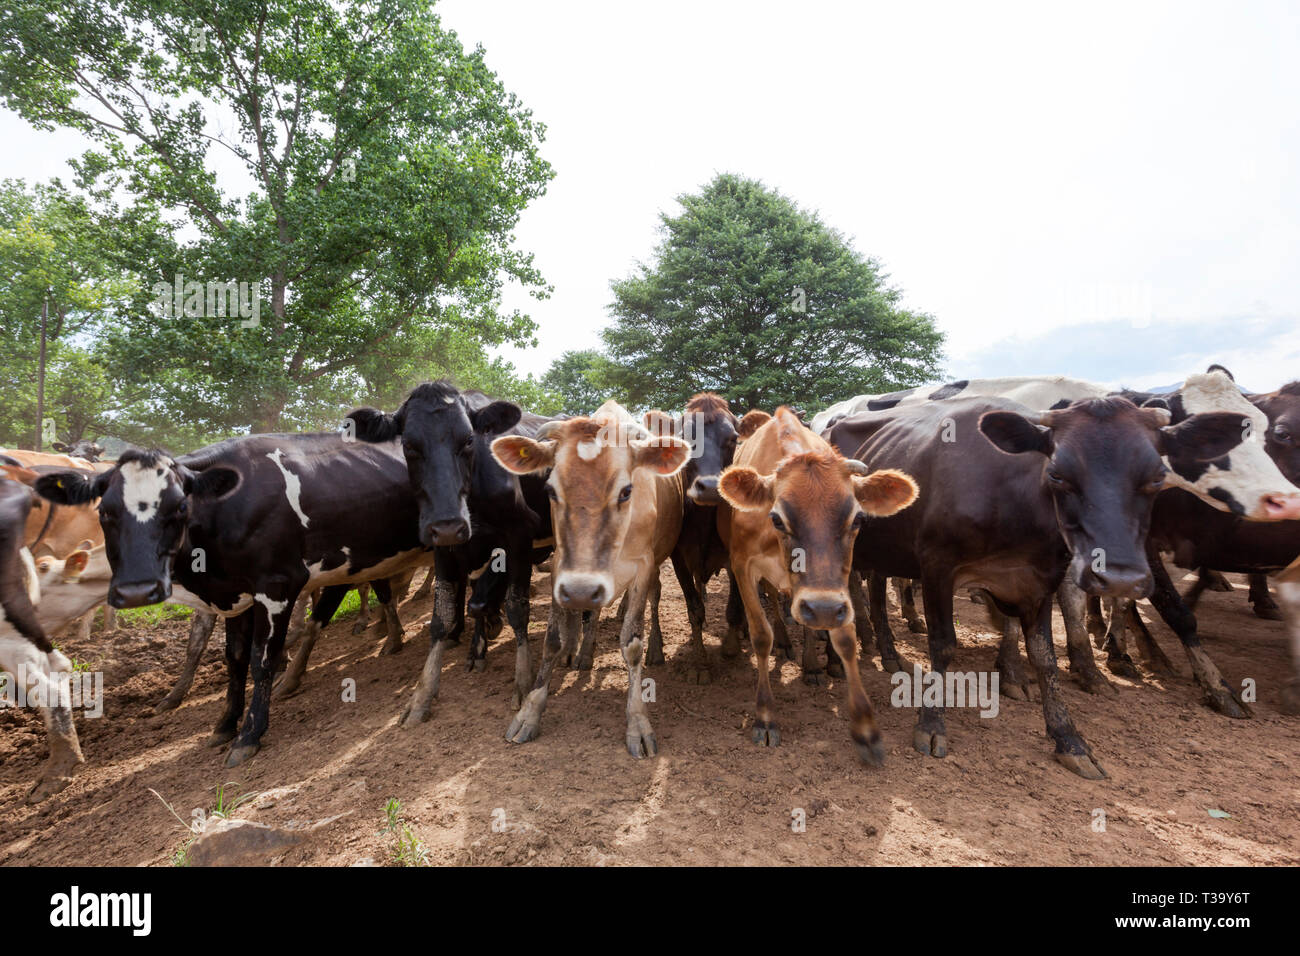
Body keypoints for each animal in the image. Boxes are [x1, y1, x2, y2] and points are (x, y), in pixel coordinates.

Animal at [33, 434, 441, 767]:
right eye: (105, 512)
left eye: (180, 507)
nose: (137, 589)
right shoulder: (236, 597)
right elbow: (234, 660)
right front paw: (225, 724)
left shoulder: (277, 589)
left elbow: (262, 661)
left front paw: (249, 735)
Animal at [491, 400, 696, 757]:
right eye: (550, 489)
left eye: (626, 491)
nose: (581, 590)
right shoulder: (563, 567)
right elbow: (552, 640)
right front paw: (530, 711)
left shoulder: (643, 567)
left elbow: (632, 644)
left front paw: (638, 721)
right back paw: (586, 654)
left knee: (654, 599)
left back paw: (656, 647)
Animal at [718, 407, 918, 762]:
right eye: (776, 518)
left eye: (857, 519)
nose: (822, 608)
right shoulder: (742, 565)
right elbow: (760, 636)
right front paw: (765, 716)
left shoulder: (838, 585)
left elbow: (846, 639)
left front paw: (865, 726)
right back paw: (786, 642)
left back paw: (810, 664)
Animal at [828, 395, 1250, 777]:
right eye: (1057, 474)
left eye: (1158, 477)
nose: (1119, 578)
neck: (1012, 504)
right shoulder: (937, 566)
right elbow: (943, 644)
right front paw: (931, 724)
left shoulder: (1040, 580)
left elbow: (1043, 656)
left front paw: (1069, 739)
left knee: (876, 595)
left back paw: (888, 653)